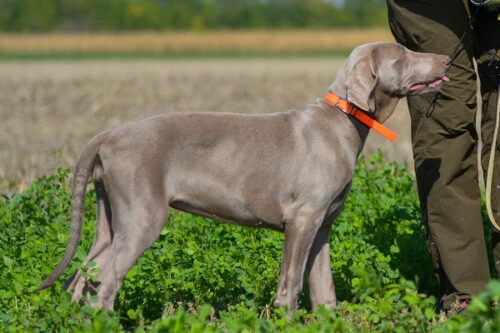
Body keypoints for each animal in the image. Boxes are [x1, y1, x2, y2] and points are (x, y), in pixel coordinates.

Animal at [39, 42, 450, 312]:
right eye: (403, 54)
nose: (447, 57)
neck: (342, 121)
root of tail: (106, 136)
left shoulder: (323, 224)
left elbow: (324, 289)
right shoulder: (302, 218)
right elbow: (291, 283)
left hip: (109, 213)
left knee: (84, 275)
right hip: (143, 212)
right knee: (106, 277)